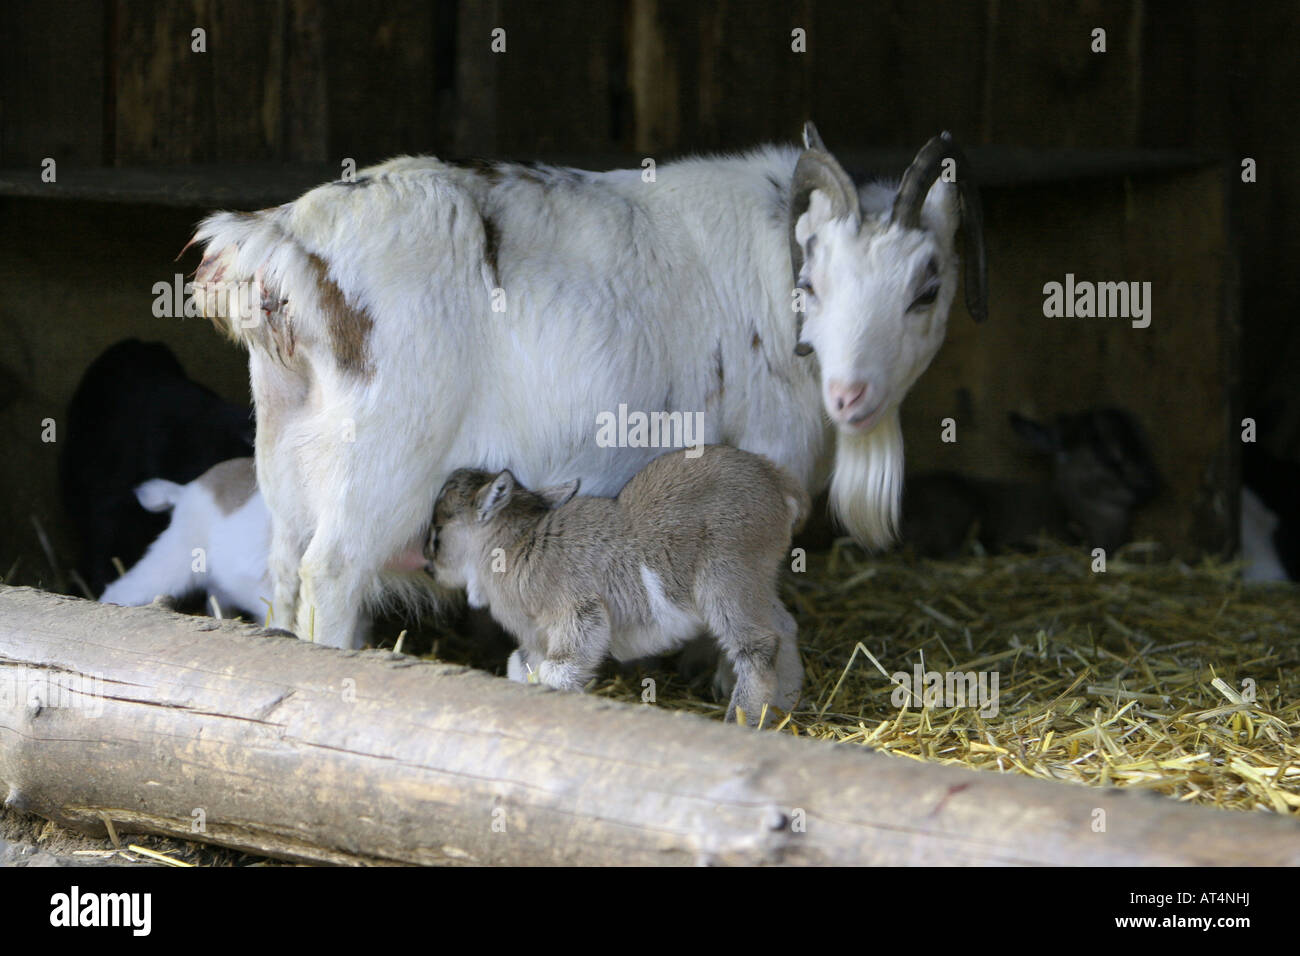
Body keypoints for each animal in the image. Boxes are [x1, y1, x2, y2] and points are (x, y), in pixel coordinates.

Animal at [190, 123, 986, 648]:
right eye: (813, 282)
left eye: (927, 289)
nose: (852, 396)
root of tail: (285, 238)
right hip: (377, 473)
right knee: (331, 576)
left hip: (288, 464)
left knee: (284, 575)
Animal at [424, 445, 808, 726]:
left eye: (436, 533)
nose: (428, 568)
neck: (519, 546)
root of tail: (780, 485)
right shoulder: (536, 639)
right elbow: (520, 667)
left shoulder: (577, 614)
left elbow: (559, 669)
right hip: (757, 577)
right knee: (784, 627)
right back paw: (785, 706)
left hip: (725, 575)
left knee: (758, 646)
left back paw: (740, 721)